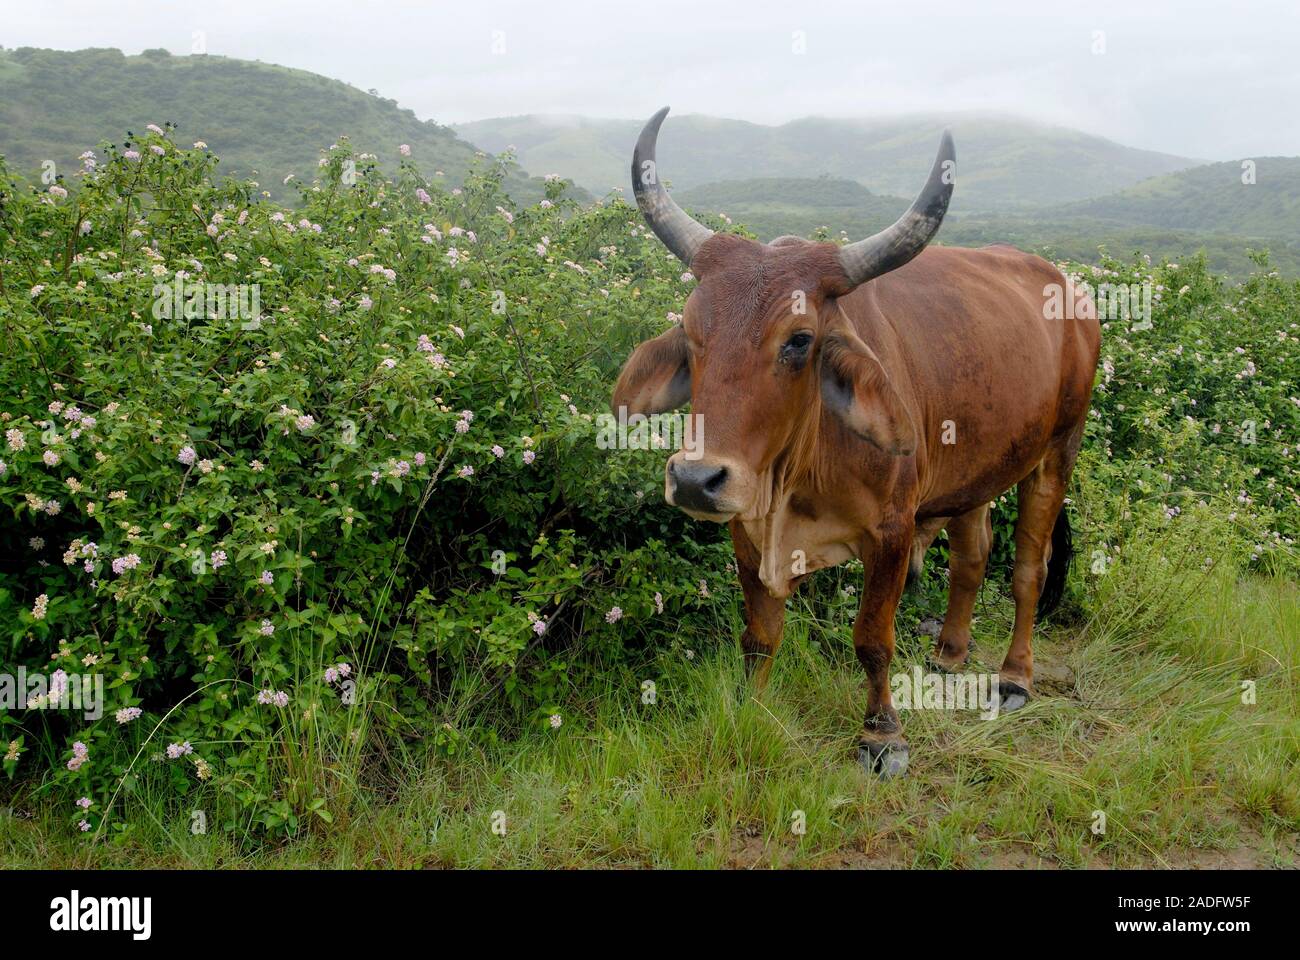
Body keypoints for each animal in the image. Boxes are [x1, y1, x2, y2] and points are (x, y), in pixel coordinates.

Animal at [614, 108, 1101, 777]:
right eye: (691, 331)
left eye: (799, 339)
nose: (694, 480)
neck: (801, 477)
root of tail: (1071, 290)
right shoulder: (747, 526)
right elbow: (759, 636)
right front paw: (750, 708)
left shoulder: (891, 532)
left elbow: (872, 640)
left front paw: (883, 735)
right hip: (976, 468)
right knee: (973, 554)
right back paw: (950, 652)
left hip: (1058, 451)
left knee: (1030, 566)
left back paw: (1014, 677)